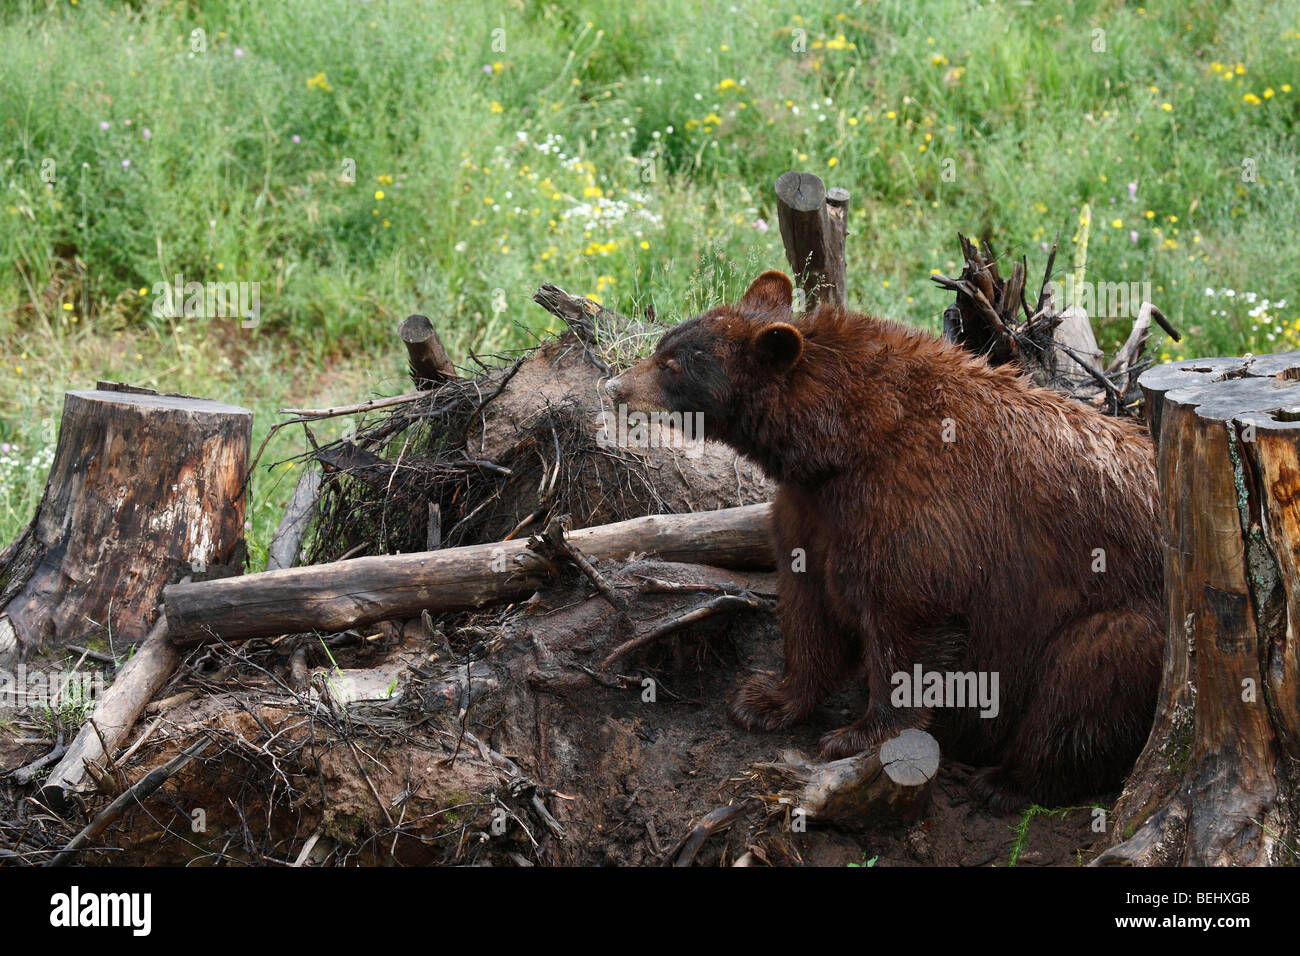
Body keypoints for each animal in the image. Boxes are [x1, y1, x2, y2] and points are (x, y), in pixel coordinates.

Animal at [604, 269, 1164, 810]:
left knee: (1085, 682)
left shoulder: (917, 504)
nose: (612, 387)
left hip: (1126, 612)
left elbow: (907, 618)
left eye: (672, 364)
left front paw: (859, 735)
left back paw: (1009, 781)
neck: (844, 440)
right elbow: (807, 604)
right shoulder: (813, 509)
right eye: (665, 347)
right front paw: (765, 700)